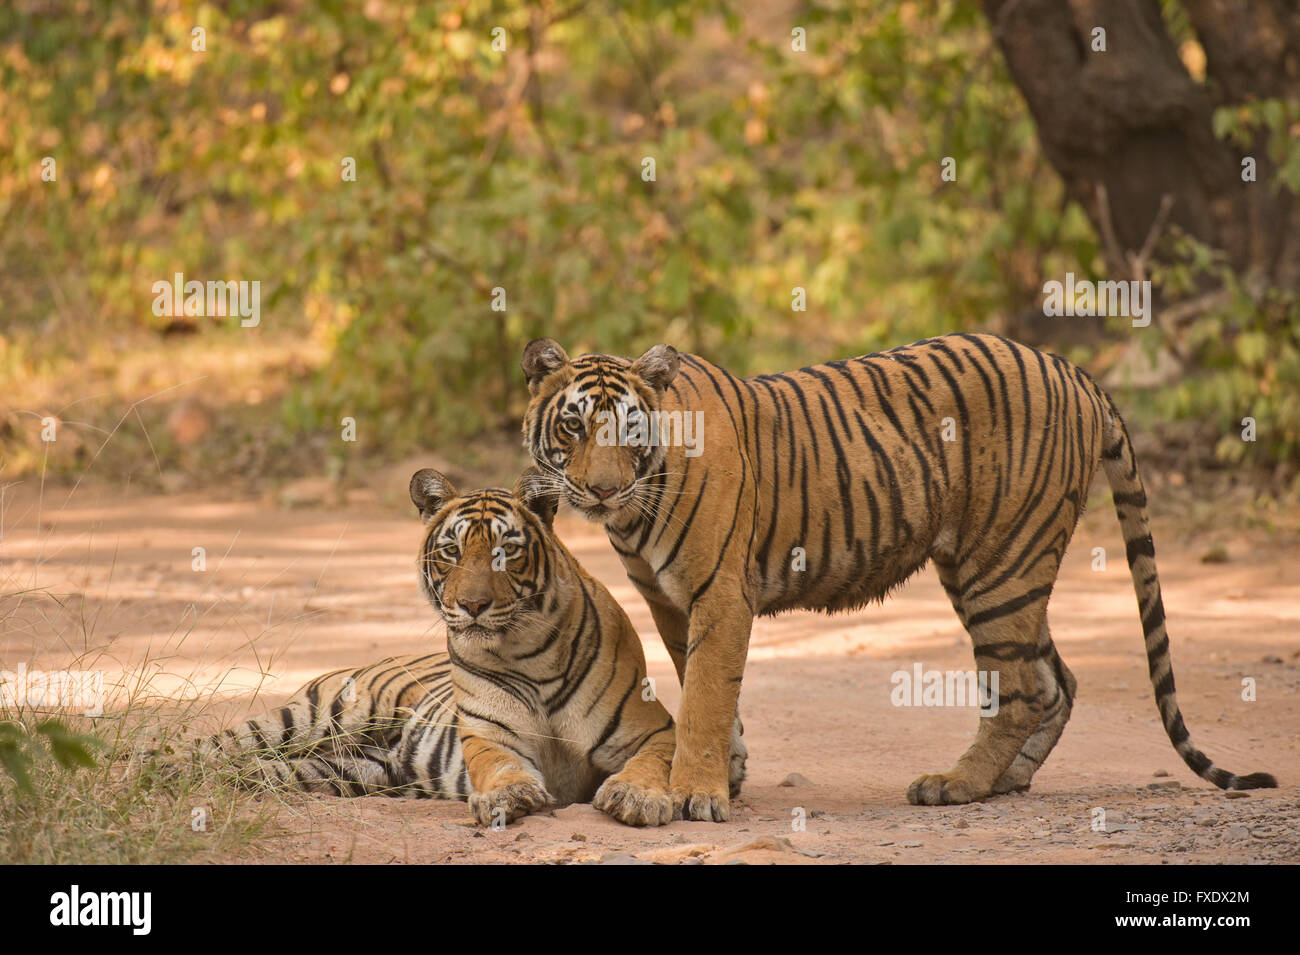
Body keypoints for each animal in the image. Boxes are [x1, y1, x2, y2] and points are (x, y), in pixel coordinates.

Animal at [186, 468, 677, 827]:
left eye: (506, 550)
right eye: (451, 551)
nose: (472, 605)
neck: (529, 651)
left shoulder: (650, 728)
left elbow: (655, 760)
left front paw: (635, 796)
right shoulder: (488, 735)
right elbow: (500, 765)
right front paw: (509, 794)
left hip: (345, 769)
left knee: (255, 769)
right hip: (311, 717)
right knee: (212, 746)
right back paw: (166, 767)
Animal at [520, 332, 1278, 821]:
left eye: (627, 430)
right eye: (574, 426)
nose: (601, 491)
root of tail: (1074, 369)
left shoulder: (719, 595)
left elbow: (706, 694)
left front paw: (694, 793)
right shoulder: (671, 602)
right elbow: (703, 687)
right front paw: (722, 777)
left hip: (1000, 562)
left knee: (1023, 689)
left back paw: (958, 784)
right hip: (999, 569)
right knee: (1057, 679)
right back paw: (1009, 779)